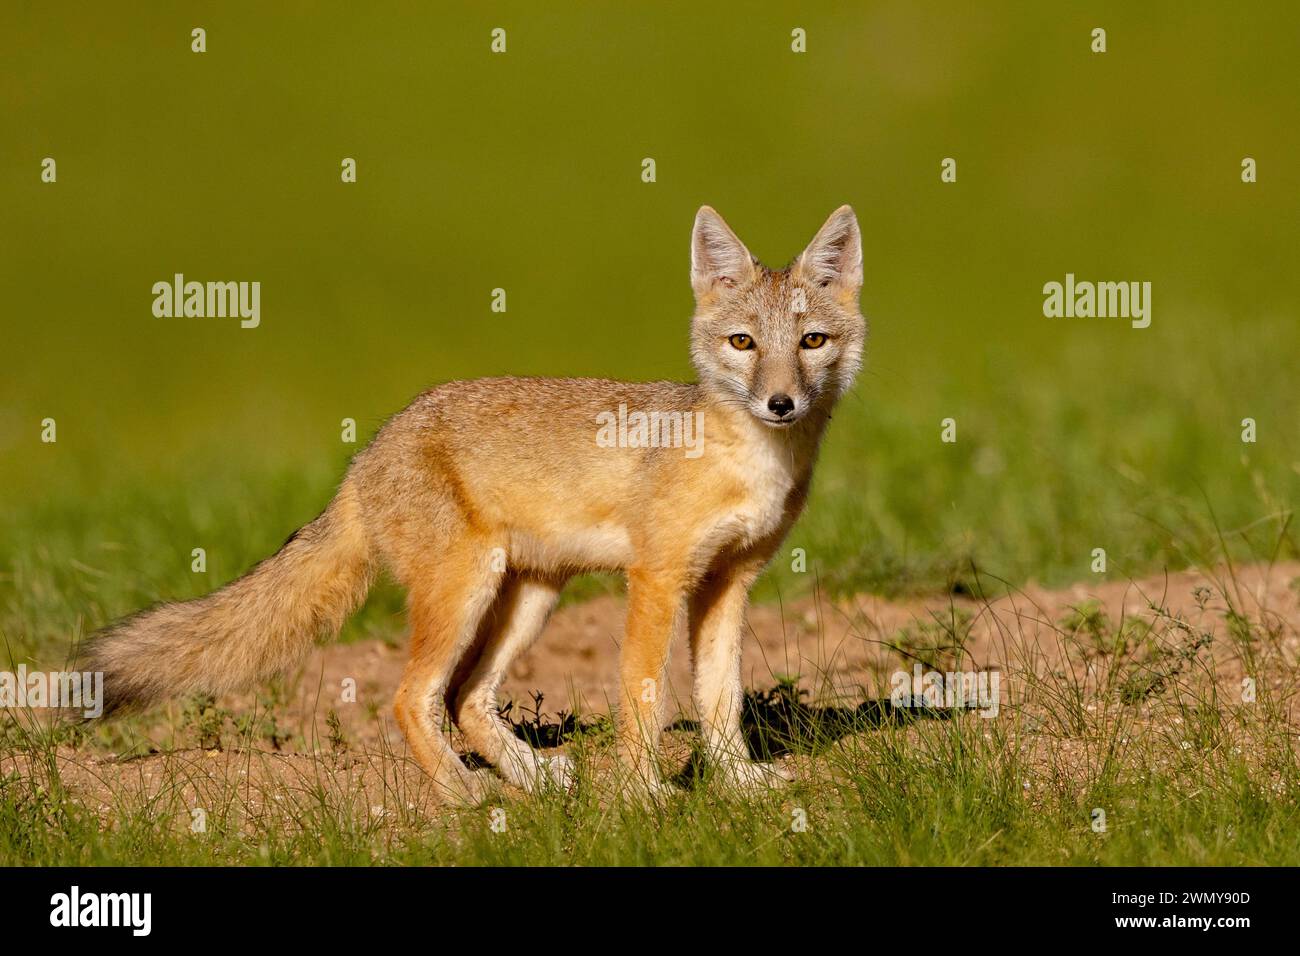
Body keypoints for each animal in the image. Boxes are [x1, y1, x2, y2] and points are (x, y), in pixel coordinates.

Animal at [84, 205, 866, 804]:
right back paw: (463, 795)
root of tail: (366, 454)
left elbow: (720, 697)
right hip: (466, 592)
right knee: (412, 698)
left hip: (528, 598)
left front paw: (739, 784)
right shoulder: (657, 578)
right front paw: (645, 795)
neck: (752, 466)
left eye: (811, 341)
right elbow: (644, 697)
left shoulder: (728, 583)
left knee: (464, 698)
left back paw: (532, 780)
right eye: (743, 343)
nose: (781, 402)